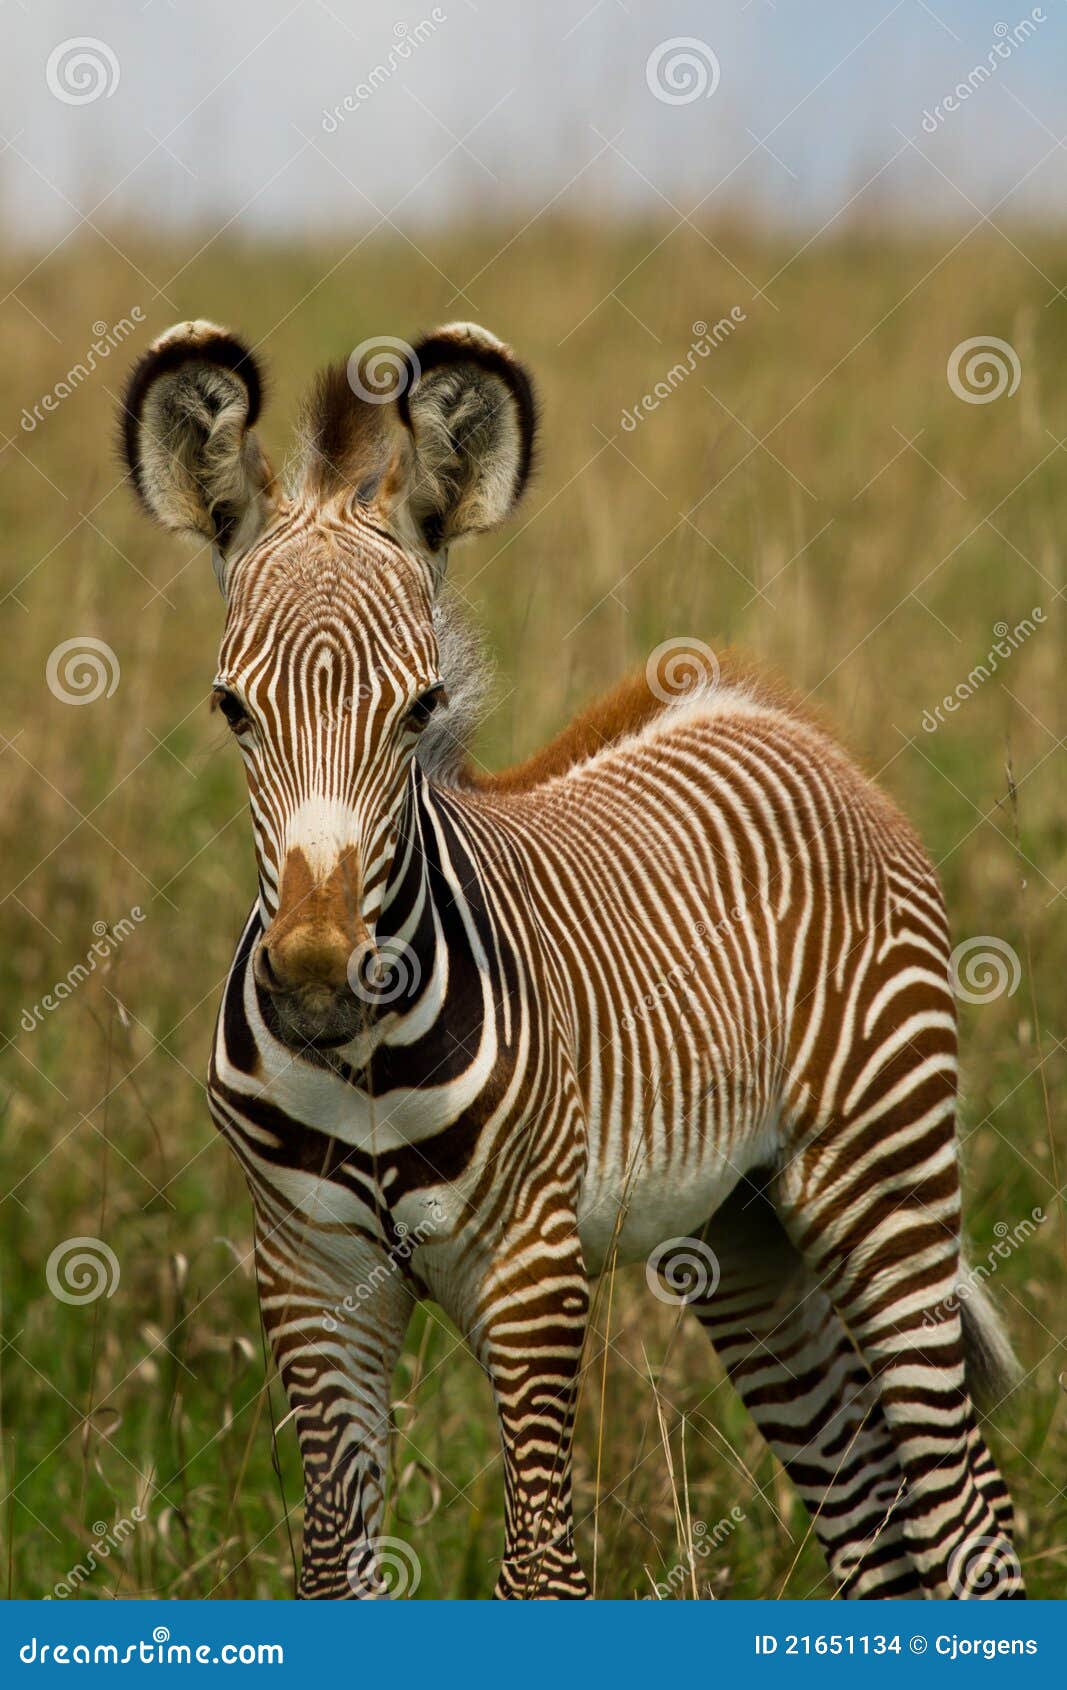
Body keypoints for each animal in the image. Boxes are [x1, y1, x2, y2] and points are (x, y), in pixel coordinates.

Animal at [119, 318, 1024, 1601]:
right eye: (229, 708)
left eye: (420, 707)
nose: (315, 982)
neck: (366, 1068)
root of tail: (768, 711)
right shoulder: (308, 1275)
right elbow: (332, 1568)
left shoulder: (529, 1273)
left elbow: (539, 1567)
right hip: (742, 1229)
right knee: (874, 1525)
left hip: (879, 1170)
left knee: (961, 1513)